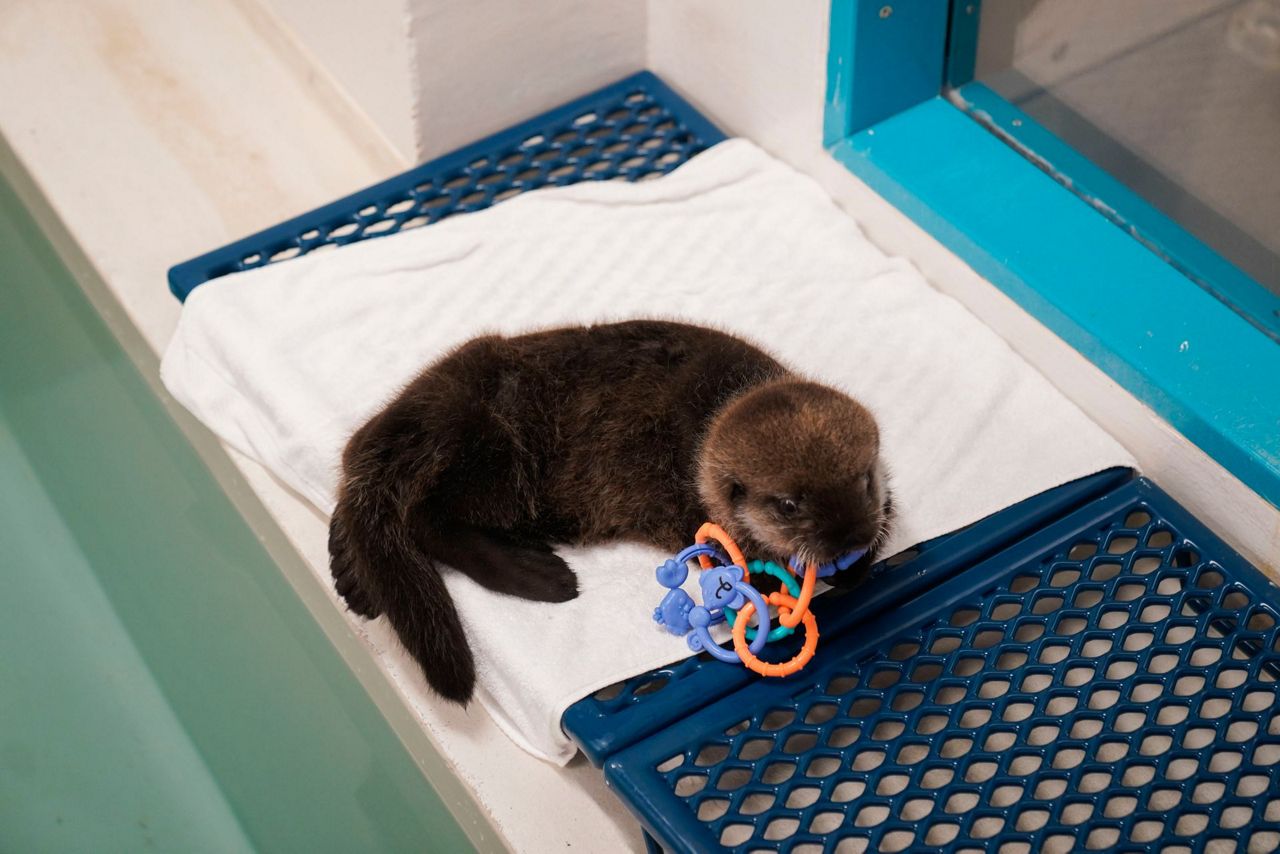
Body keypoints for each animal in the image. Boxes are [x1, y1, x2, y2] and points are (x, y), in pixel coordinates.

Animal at [328, 320, 892, 703]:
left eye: (863, 481)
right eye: (789, 505)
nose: (848, 535)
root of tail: (418, 415)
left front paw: (856, 562)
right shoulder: (693, 510)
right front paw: (779, 581)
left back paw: (350, 573)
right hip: (494, 453)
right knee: (429, 519)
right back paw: (542, 575)